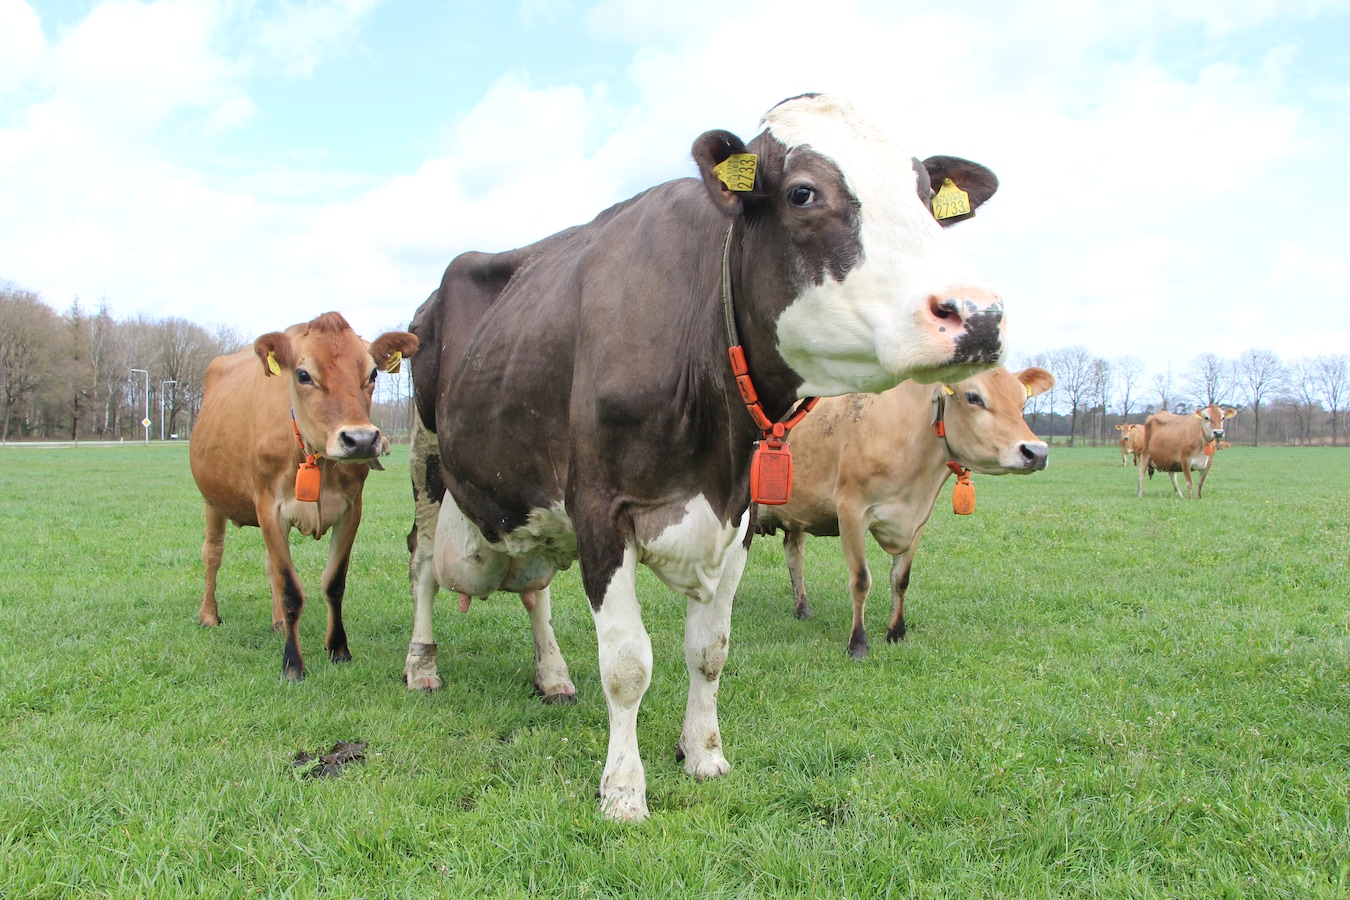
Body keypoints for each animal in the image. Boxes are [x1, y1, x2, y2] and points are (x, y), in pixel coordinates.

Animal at [191, 312, 418, 681]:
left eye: (372, 373)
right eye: (302, 374)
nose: (360, 439)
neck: (315, 458)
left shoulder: (351, 509)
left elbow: (333, 582)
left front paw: (338, 649)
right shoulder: (269, 507)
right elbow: (291, 590)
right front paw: (293, 664)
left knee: (269, 565)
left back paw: (277, 624)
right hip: (213, 499)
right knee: (212, 554)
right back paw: (209, 614)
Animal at [405, 94, 1007, 821]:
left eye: (925, 195)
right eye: (803, 192)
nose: (978, 314)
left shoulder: (740, 512)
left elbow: (710, 649)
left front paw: (704, 755)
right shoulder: (601, 508)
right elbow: (628, 664)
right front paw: (623, 789)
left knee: (534, 586)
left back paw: (552, 675)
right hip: (425, 458)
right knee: (421, 564)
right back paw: (421, 665)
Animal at [756, 366, 1053, 659]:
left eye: (1022, 402)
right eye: (974, 397)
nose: (1037, 452)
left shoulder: (918, 520)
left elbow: (901, 579)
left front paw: (896, 633)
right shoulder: (851, 510)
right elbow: (861, 580)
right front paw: (858, 644)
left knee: (794, 554)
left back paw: (802, 608)